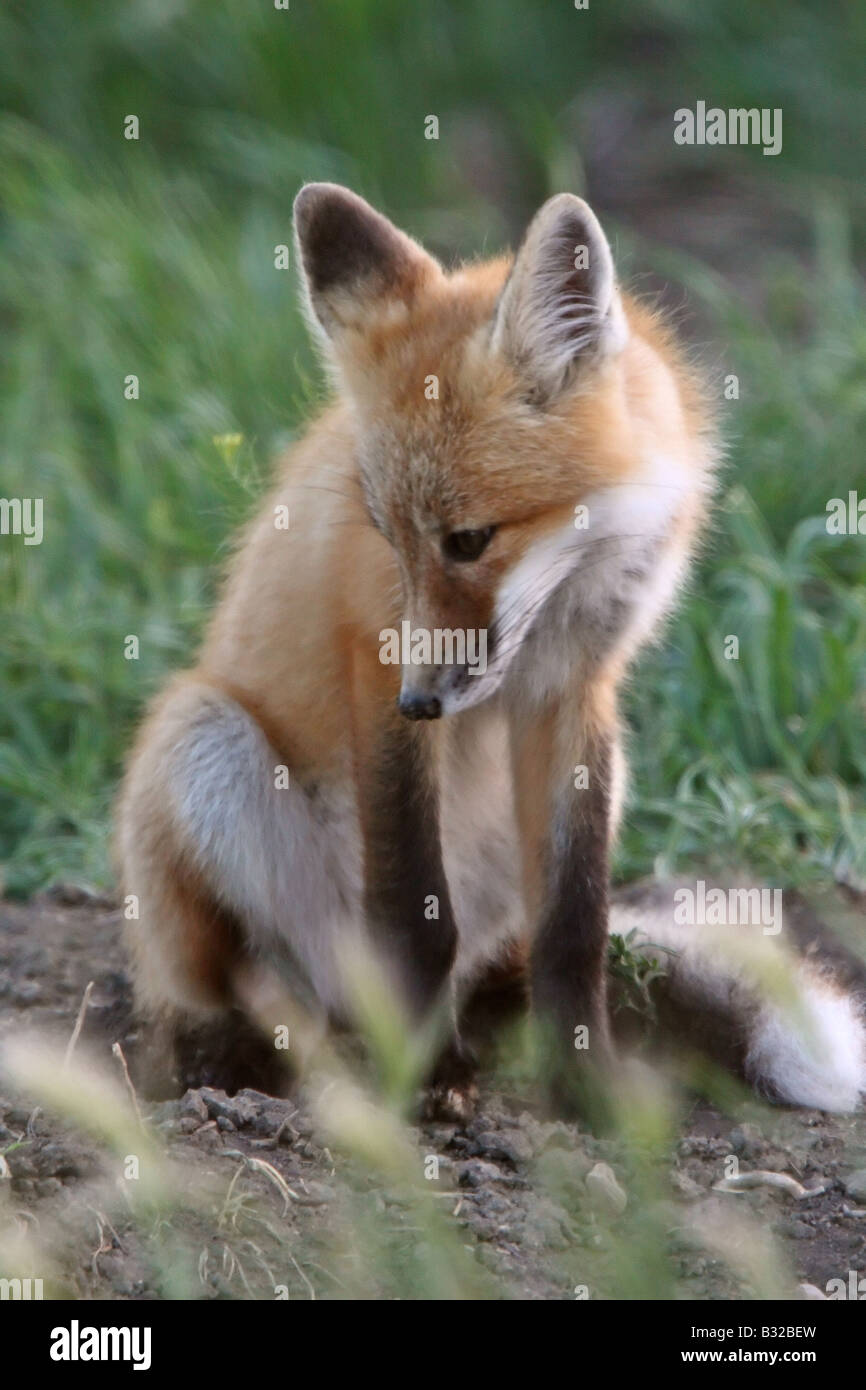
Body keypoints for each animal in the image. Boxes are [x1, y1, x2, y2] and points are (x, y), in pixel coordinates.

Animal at [117, 183, 866, 1121]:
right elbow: (414, 911)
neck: (561, 597)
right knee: (227, 988)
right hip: (202, 743)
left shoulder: (577, 691)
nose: (424, 702)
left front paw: (585, 1087)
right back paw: (235, 1056)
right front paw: (425, 1078)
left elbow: (575, 925)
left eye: (468, 539)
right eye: (389, 536)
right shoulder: (378, 661)